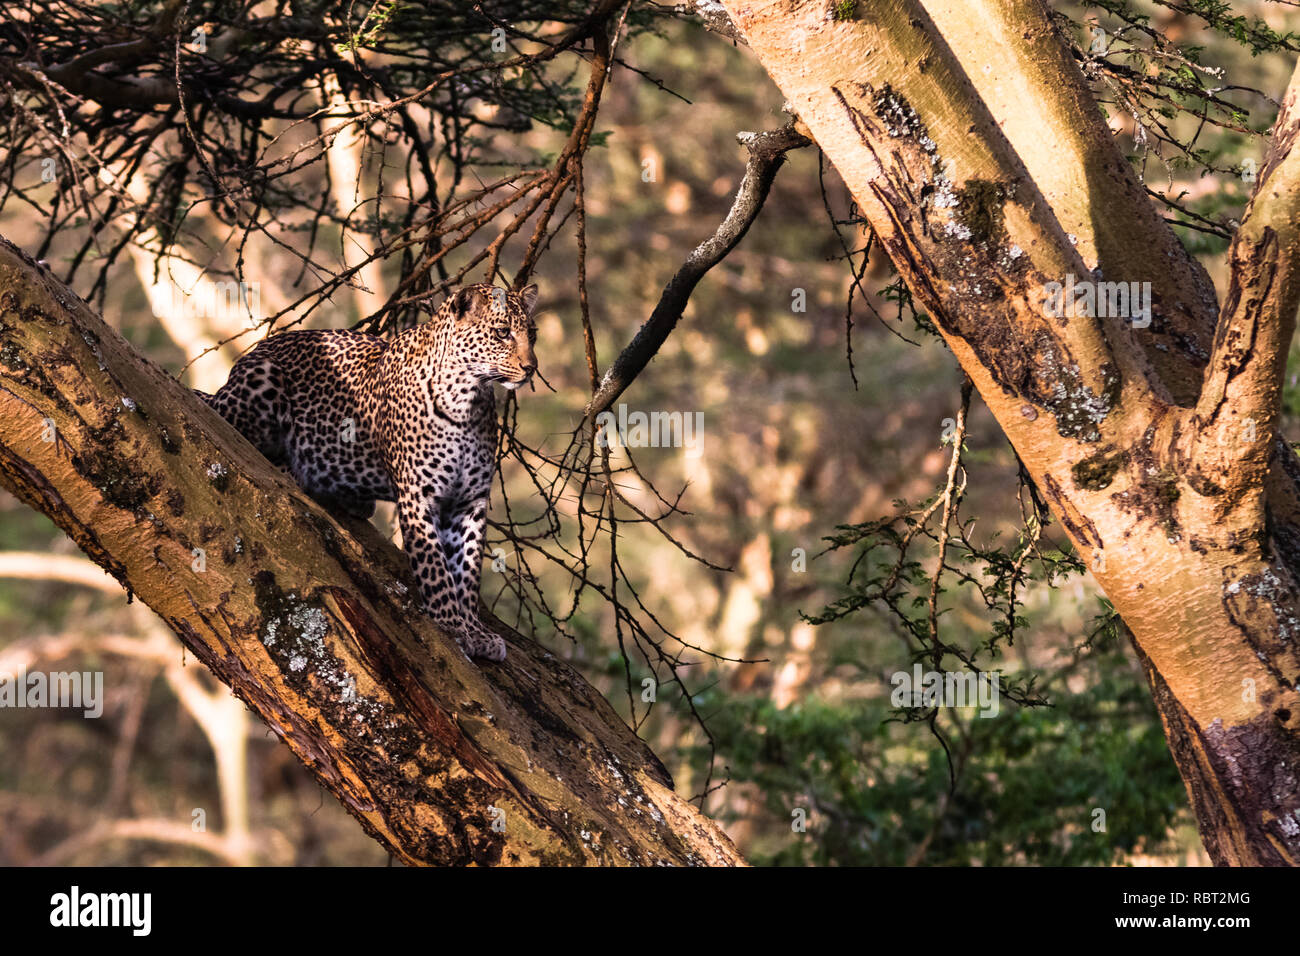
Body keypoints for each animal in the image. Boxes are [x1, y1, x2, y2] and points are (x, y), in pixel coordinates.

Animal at [196, 281, 540, 662]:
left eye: (532, 335)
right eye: (502, 332)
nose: (531, 367)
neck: (468, 398)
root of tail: (256, 350)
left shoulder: (469, 502)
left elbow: (466, 570)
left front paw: (475, 630)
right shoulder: (418, 495)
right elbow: (435, 567)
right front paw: (452, 626)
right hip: (261, 381)